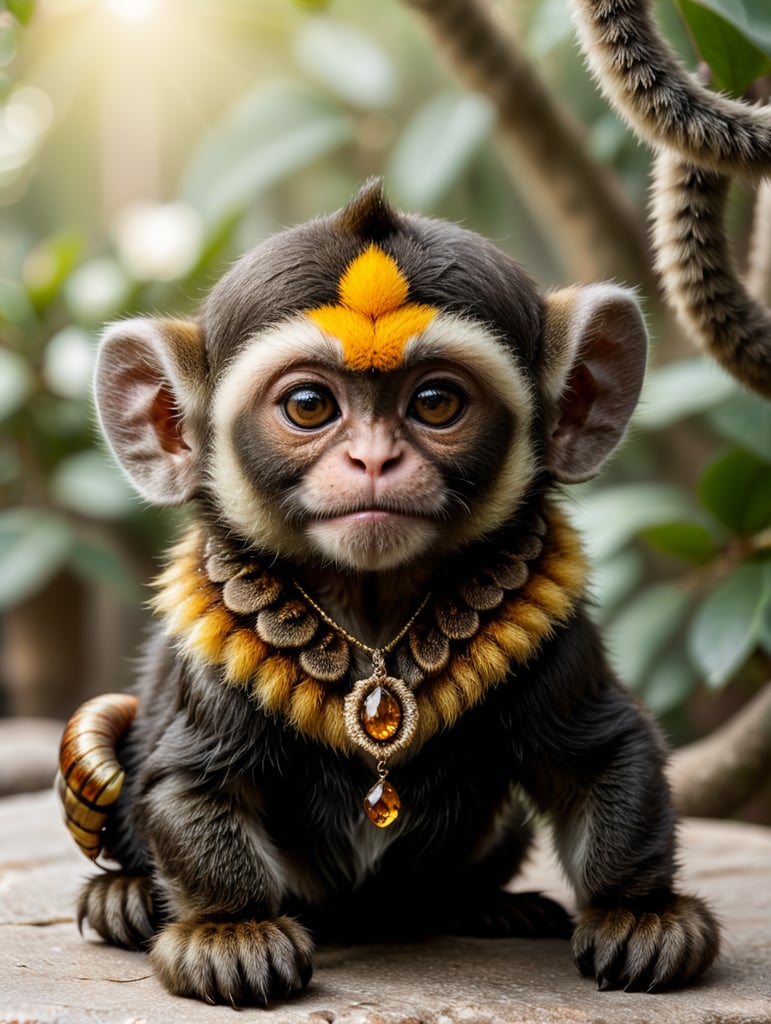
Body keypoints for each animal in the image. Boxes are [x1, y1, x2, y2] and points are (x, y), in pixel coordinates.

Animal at [57, 180, 720, 1007]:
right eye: (309, 406)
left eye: (434, 402)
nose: (373, 459)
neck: (370, 611)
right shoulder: (208, 673)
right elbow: (194, 781)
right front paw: (228, 932)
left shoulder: (557, 637)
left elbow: (602, 755)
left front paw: (639, 912)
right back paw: (123, 898)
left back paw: (479, 903)